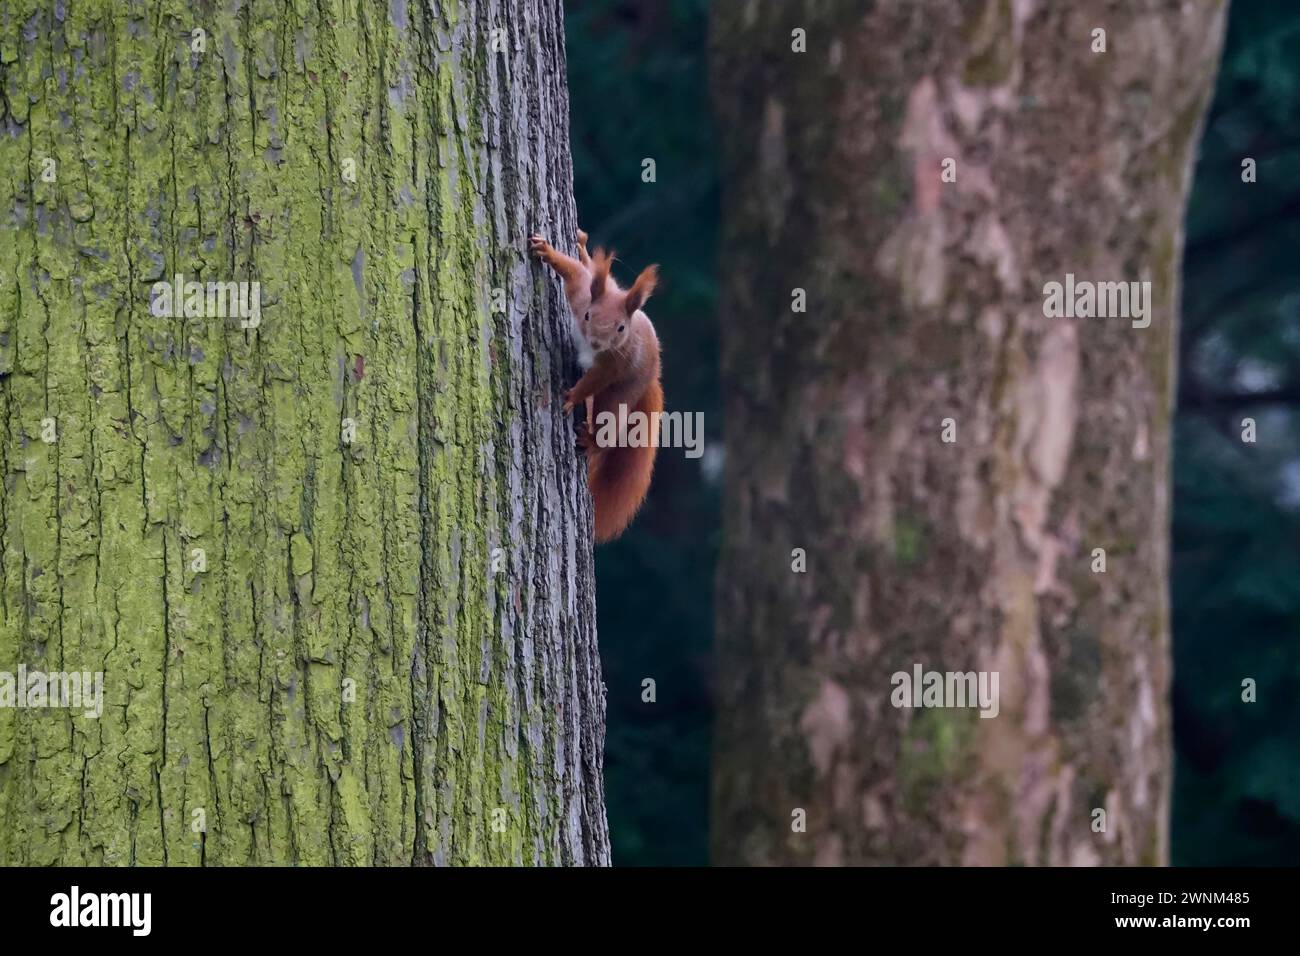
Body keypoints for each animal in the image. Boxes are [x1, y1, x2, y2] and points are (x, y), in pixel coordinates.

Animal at [529, 228, 661, 543]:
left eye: (621, 328)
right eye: (589, 315)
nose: (596, 342)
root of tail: (654, 374)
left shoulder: (615, 363)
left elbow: (594, 380)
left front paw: (570, 396)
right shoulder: (580, 296)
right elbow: (574, 272)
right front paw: (548, 252)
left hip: (622, 393)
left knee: (608, 426)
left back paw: (591, 441)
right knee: (596, 274)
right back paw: (583, 250)